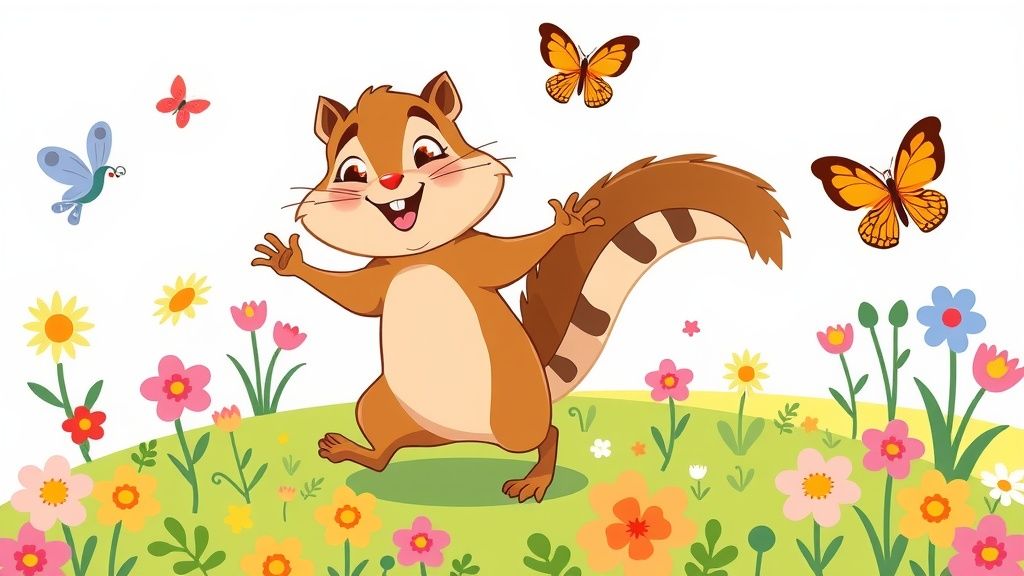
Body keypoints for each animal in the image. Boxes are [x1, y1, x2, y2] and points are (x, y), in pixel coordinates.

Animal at [252, 71, 789, 503]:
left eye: (426, 152)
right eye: (352, 171)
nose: (387, 181)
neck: (421, 253)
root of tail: (458, 437)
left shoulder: (477, 257)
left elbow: (515, 258)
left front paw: (565, 224)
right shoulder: (382, 274)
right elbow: (356, 299)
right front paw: (290, 262)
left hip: (513, 412)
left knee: (546, 433)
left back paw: (535, 479)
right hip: (381, 404)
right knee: (390, 447)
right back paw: (359, 452)